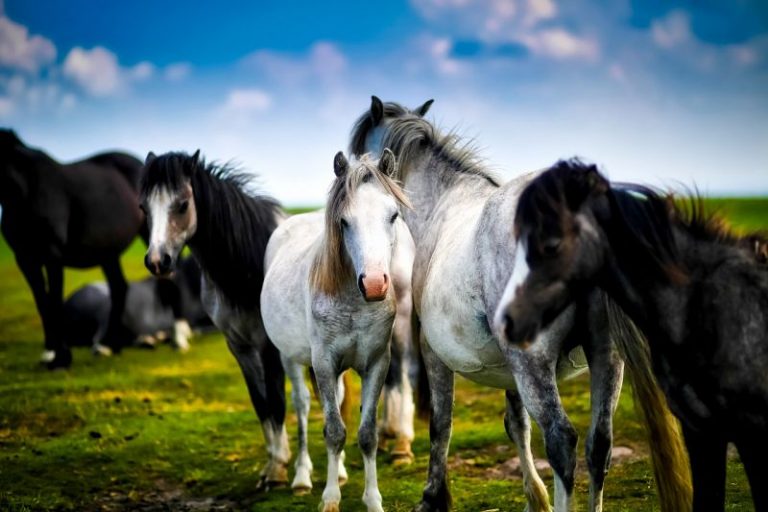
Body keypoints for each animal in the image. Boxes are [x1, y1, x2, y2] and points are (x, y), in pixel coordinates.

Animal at [0, 128, 145, 369]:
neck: (28, 190)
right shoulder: (25, 258)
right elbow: (42, 303)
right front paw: (50, 353)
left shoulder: (52, 255)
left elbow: (55, 301)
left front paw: (61, 357)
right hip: (108, 254)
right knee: (119, 287)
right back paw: (109, 346)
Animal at [139, 150, 291, 489]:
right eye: (143, 207)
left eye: (183, 204)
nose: (157, 261)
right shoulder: (239, 347)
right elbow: (261, 402)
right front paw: (272, 464)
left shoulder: (268, 347)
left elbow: (276, 401)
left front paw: (277, 471)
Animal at [261, 150, 414, 512]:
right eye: (344, 222)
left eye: (393, 215)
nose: (374, 284)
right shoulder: (324, 365)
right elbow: (333, 431)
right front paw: (330, 498)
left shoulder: (376, 364)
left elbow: (366, 433)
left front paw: (373, 500)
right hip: (290, 358)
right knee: (302, 407)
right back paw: (302, 478)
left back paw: (340, 472)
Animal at [349, 97, 690, 512]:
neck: (444, 201)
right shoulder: (508, 366)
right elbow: (517, 425)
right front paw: (534, 498)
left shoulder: (435, 353)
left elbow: (441, 425)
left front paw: (433, 496)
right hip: (605, 357)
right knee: (599, 445)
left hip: (535, 362)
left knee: (562, 441)